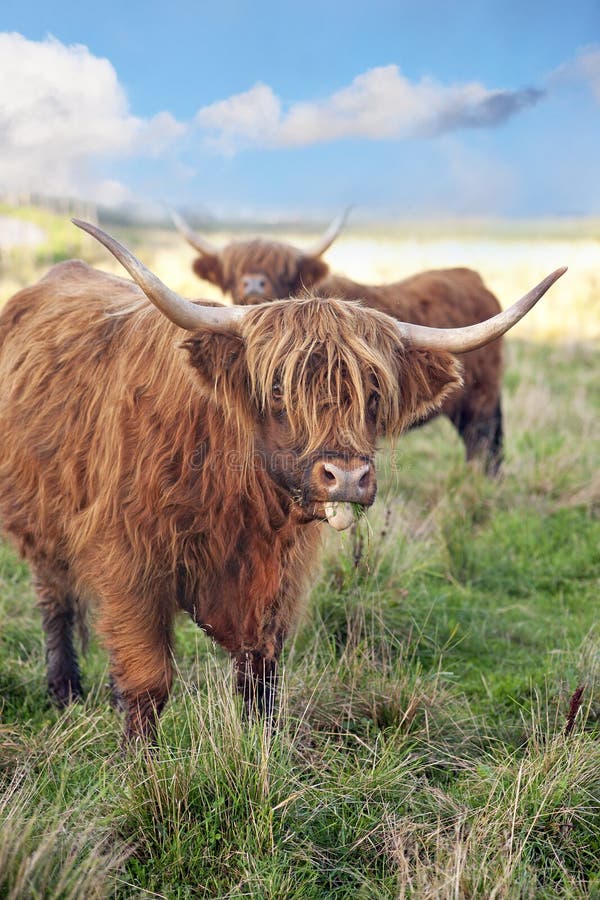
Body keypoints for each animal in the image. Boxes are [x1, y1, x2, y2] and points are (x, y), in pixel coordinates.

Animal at [174, 214, 505, 474]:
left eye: (284, 271)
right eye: (232, 272)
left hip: (480, 402)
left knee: (482, 448)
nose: (254, 284)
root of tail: (473, 278)